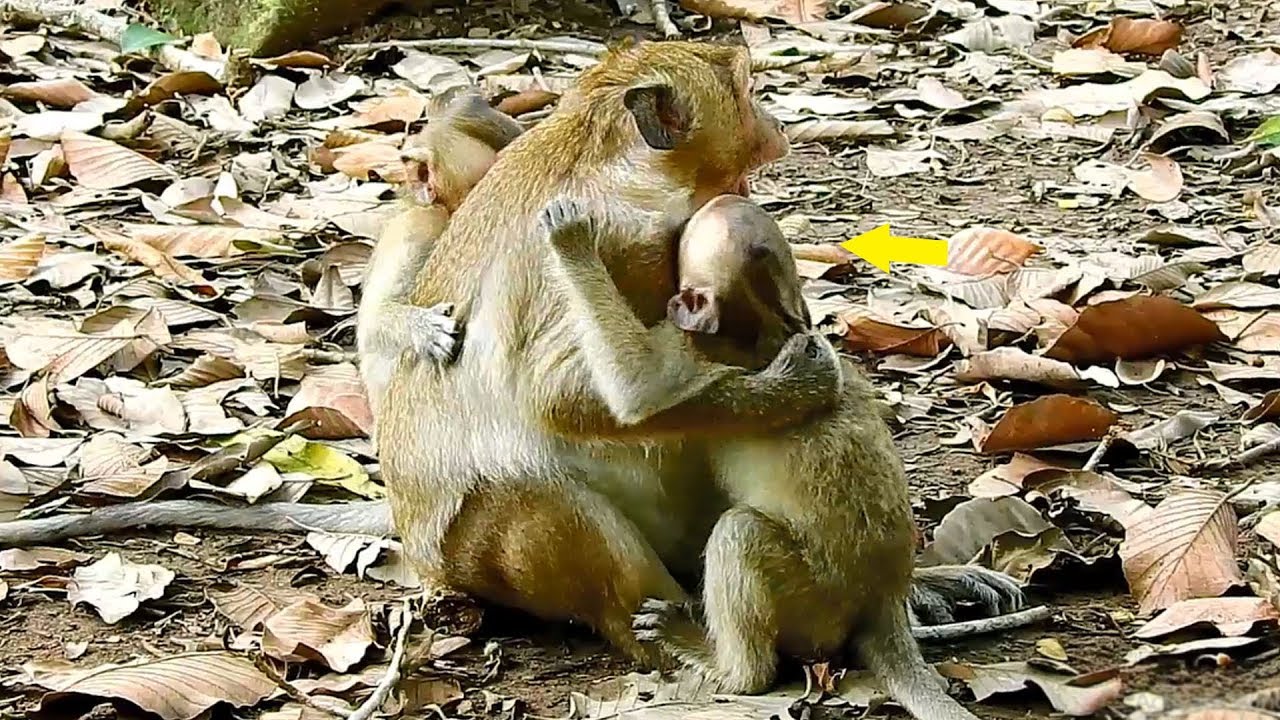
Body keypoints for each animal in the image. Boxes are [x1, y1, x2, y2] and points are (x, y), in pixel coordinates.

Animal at [536, 193, 1002, 718]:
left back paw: (729, 667)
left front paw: (572, 242)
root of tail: (882, 601)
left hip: (814, 603)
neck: (765, 322)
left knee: (741, 534)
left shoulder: (690, 350)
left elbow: (638, 391)